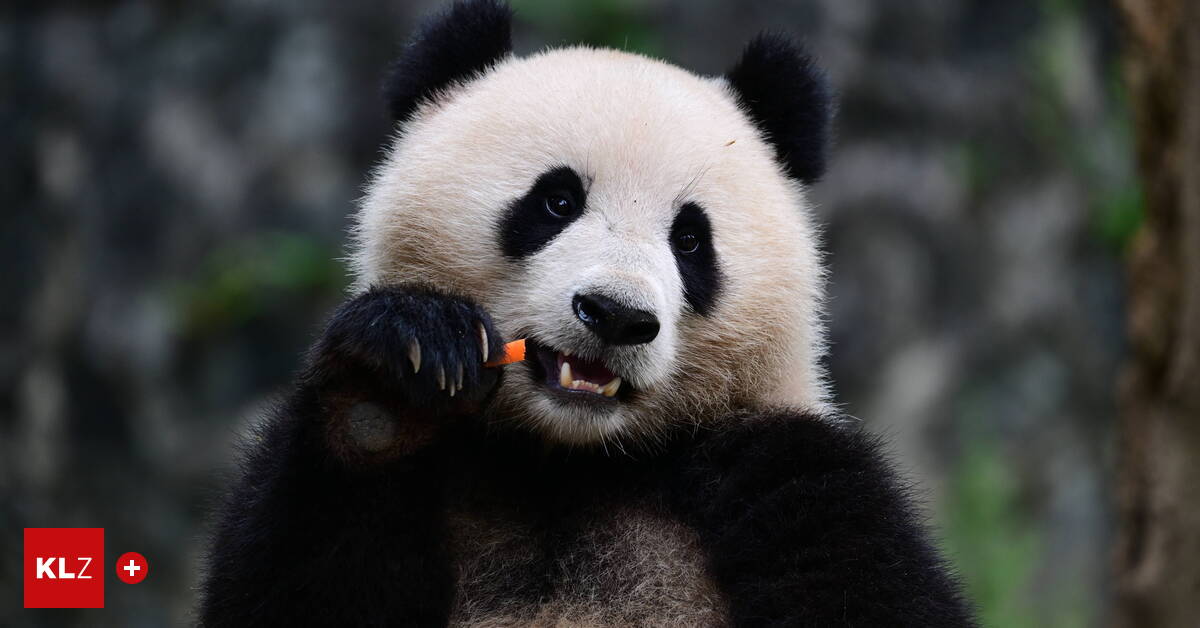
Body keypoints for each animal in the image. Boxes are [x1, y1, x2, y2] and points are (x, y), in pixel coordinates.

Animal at [199, 1, 976, 626]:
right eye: (557, 200)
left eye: (690, 240)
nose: (616, 315)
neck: (571, 462)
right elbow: (298, 583)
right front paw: (395, 380)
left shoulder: (794, 476)